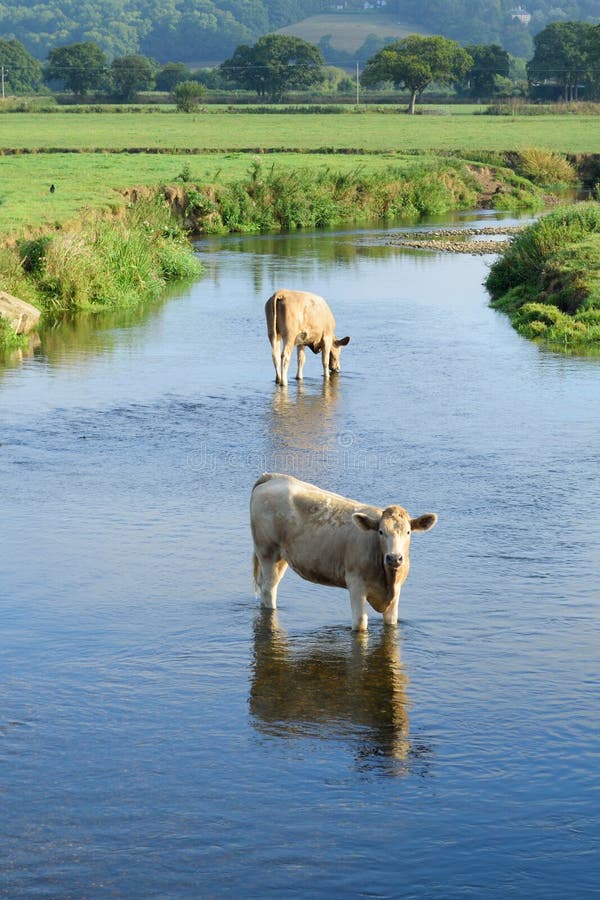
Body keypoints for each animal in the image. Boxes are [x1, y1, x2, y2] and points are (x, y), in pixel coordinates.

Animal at [250, 473, 438, 632]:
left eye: (408, 532)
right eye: (381, 532)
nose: (394, 558)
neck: (388, 579)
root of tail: (274, 477)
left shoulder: (396, 592)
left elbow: (392, 622)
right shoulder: (355, 584)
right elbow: (360, 623)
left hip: (280, 557)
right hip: (267, 552)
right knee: (268, 589)